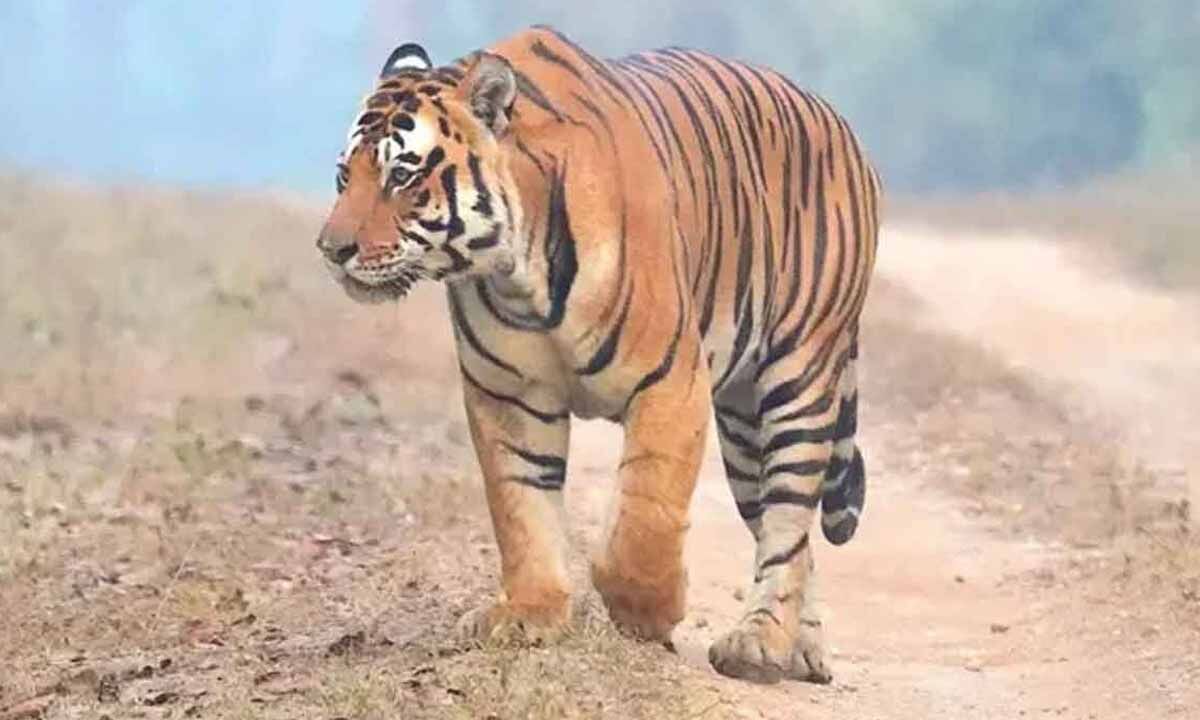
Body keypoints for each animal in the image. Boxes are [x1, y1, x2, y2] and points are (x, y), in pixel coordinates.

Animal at [316, 26, 881, 684]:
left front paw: (648, 612)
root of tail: (834, 116)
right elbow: (521, 508)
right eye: (343, 177)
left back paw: (760, 643)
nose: (331, 249)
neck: (516, 273)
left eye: (402, 176)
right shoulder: (508, 395)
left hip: (800, 377)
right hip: (744, 428)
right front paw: (529, 613)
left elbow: (645, 515)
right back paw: (801, 648)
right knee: (786, 535)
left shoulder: (670, 382)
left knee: (790, 517)